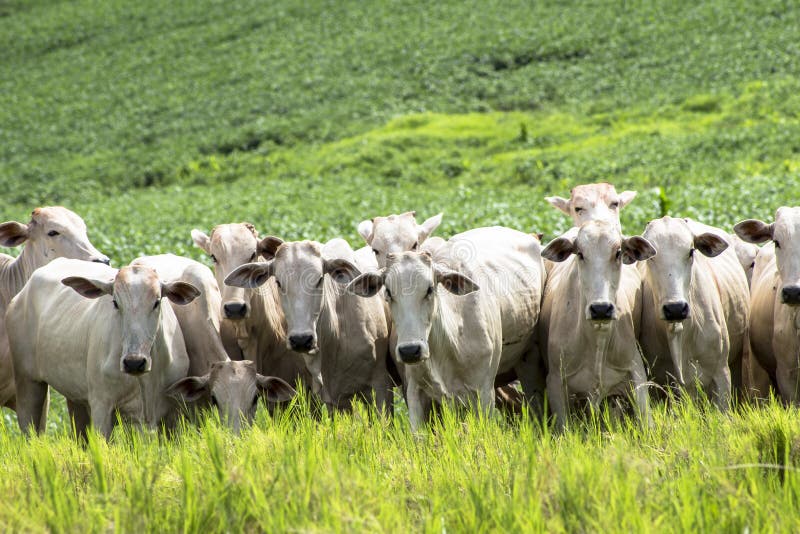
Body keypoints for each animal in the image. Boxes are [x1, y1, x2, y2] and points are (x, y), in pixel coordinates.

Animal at [7, 259, 198, 438]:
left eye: (157, 302)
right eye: (115, 302)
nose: (134, 363)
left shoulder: (171, 413)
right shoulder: (102, 406)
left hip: (74, 397)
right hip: (28, 383)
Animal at [347, 227, 545, 430]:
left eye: (429, 289)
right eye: (388, 291)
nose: (410, 351)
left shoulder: (484, 392)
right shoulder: (415, 392)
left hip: (530, 363)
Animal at [540, 221, 655, 429]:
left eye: (618, 252)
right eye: (580, 253)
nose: (601, 309)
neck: (596, 339)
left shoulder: (636, 373)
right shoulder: (555, 383)